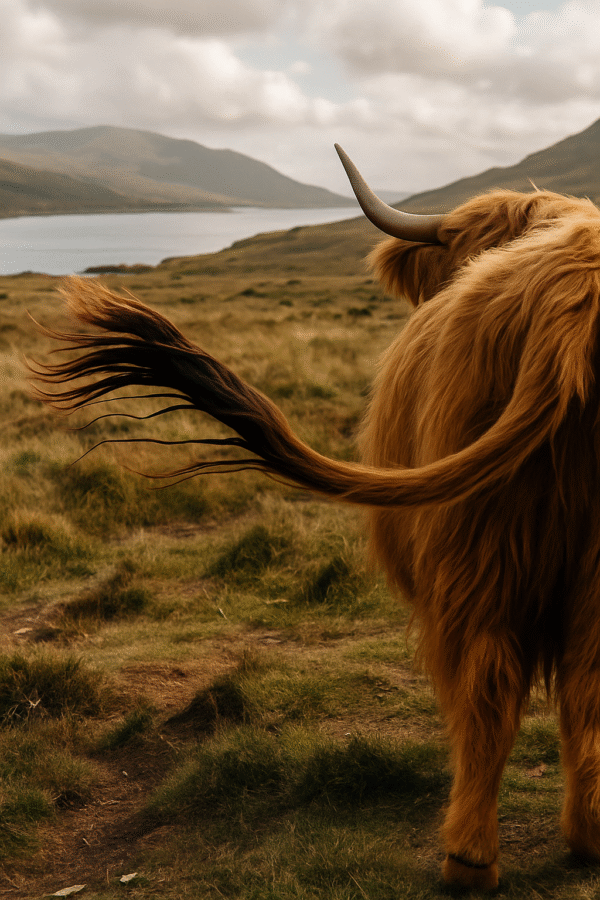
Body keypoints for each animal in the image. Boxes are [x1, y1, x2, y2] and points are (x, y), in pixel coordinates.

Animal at [31, 145, 600, 890]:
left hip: (482, 544)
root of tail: (575, 290)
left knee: (487, 683)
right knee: (584, 681)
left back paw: (469, 860)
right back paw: (588, 838)